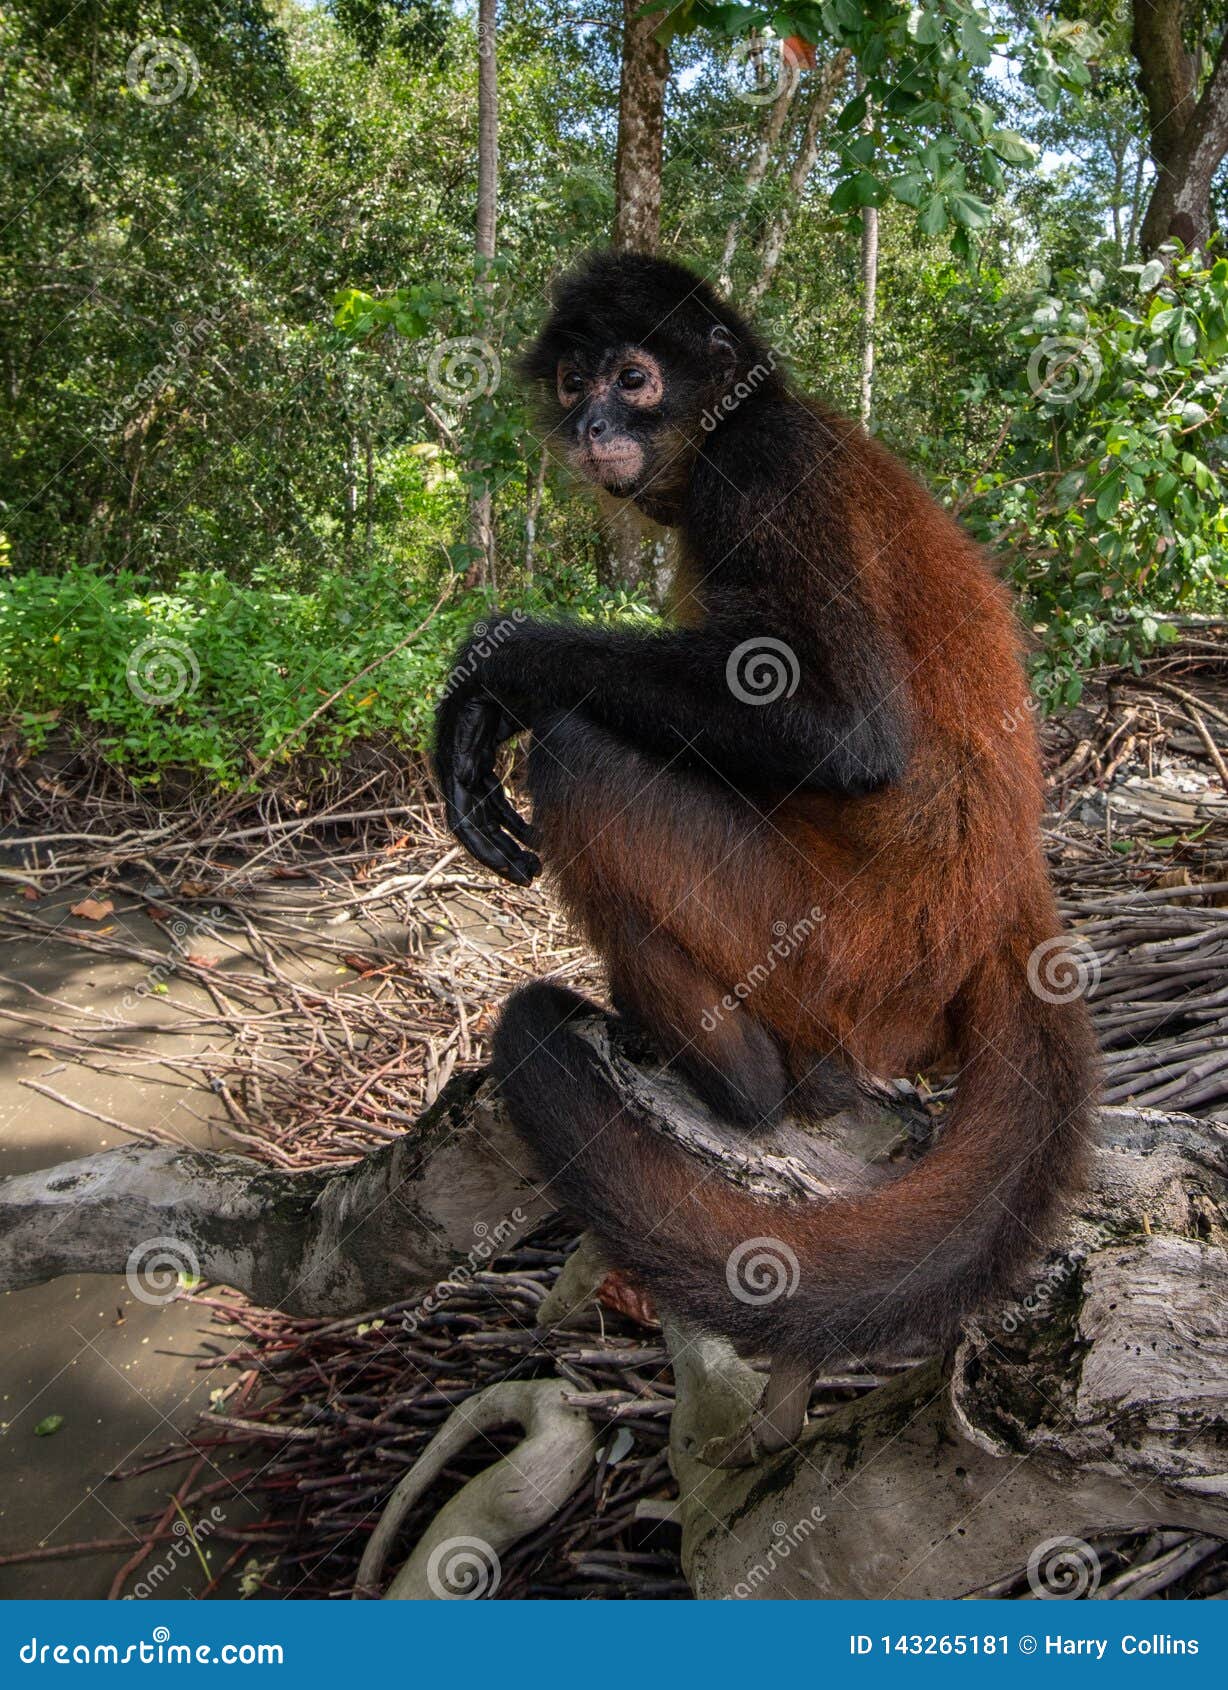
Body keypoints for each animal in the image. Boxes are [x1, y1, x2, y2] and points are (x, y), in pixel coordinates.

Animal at [433, 250, 1098, 1456]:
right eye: (574, 383)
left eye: (635, 379)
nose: (593, 421)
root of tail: (1005, 903)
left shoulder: (757, 467)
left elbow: (844, 733)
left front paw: (495, 671)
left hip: (830, 947)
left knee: (576, 752)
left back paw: (729, 1076)